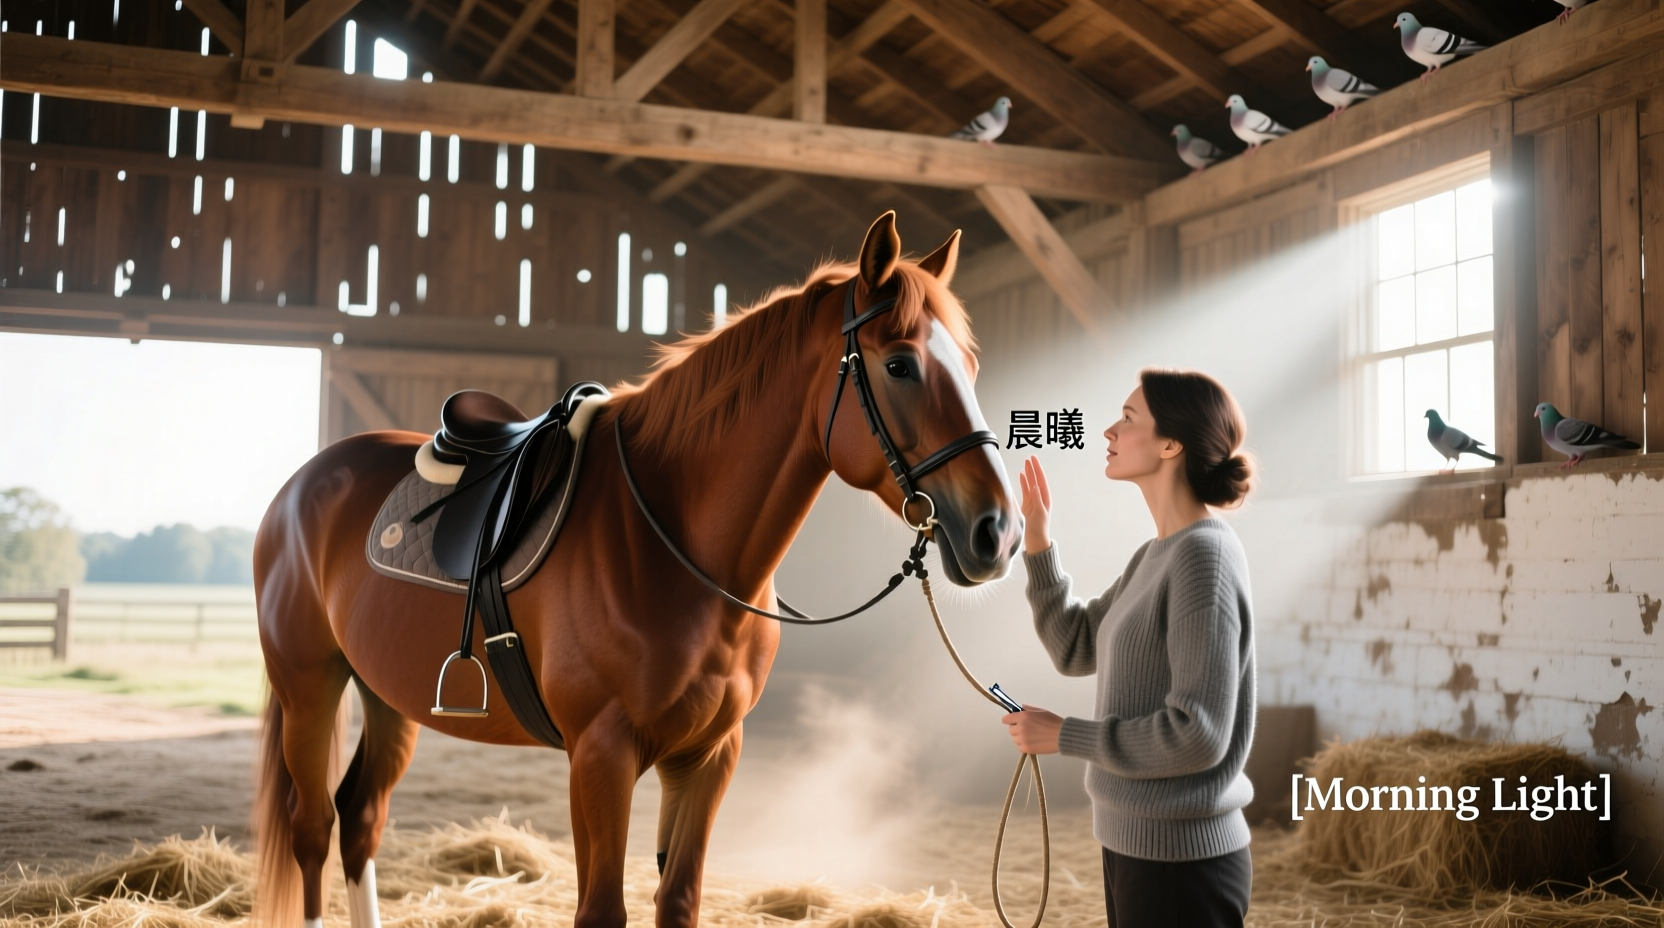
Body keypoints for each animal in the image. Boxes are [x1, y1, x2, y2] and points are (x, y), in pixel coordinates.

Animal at [252, 212, 1022, 928]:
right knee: (314, 827)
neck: (674, 544)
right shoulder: (600, 754)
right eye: (899, 364)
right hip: (310, 686)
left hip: (385, 693)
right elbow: (602, 909)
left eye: (970, 366)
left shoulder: (709, 756)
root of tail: (302, 485)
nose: (1000, 532)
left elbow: (677, 899)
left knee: (360, 818)